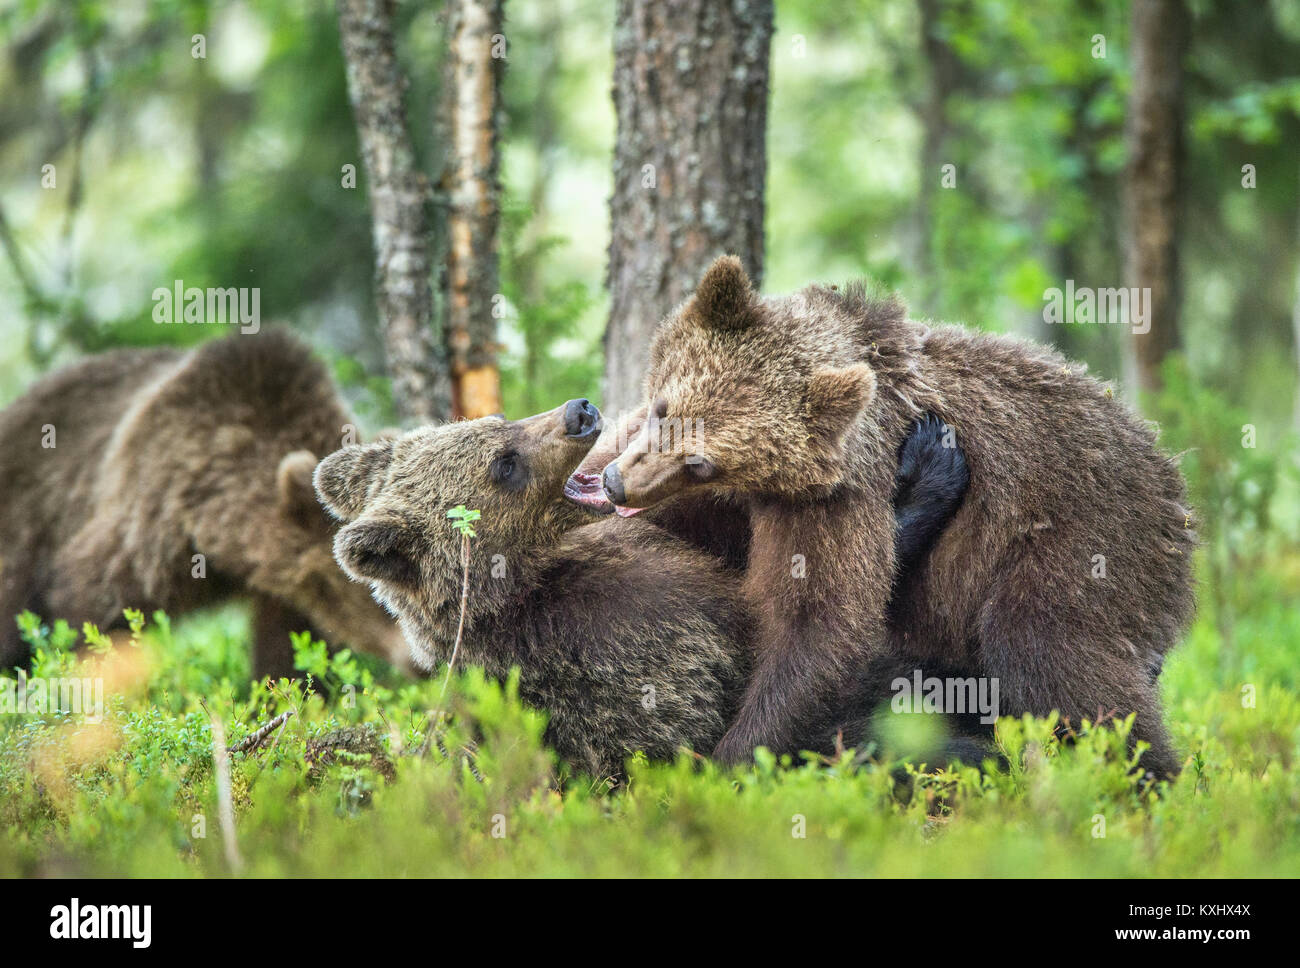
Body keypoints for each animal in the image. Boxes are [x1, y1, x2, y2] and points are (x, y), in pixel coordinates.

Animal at [314, 400, 977, 777]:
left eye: (497, 420)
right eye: (504, 463)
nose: (579, 411)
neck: (540, 574)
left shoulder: (658, 554)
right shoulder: (612, 651)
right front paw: (931, 469)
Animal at [594, 256, 1195, 779]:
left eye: (702, 459)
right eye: (665, 410)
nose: (618, 482)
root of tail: (1172, 483)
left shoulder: (839, 499)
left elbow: (819, 625)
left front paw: (736, 756)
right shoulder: (725, 501)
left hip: (1082, 534)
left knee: (1050, 650)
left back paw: (1142, 776)